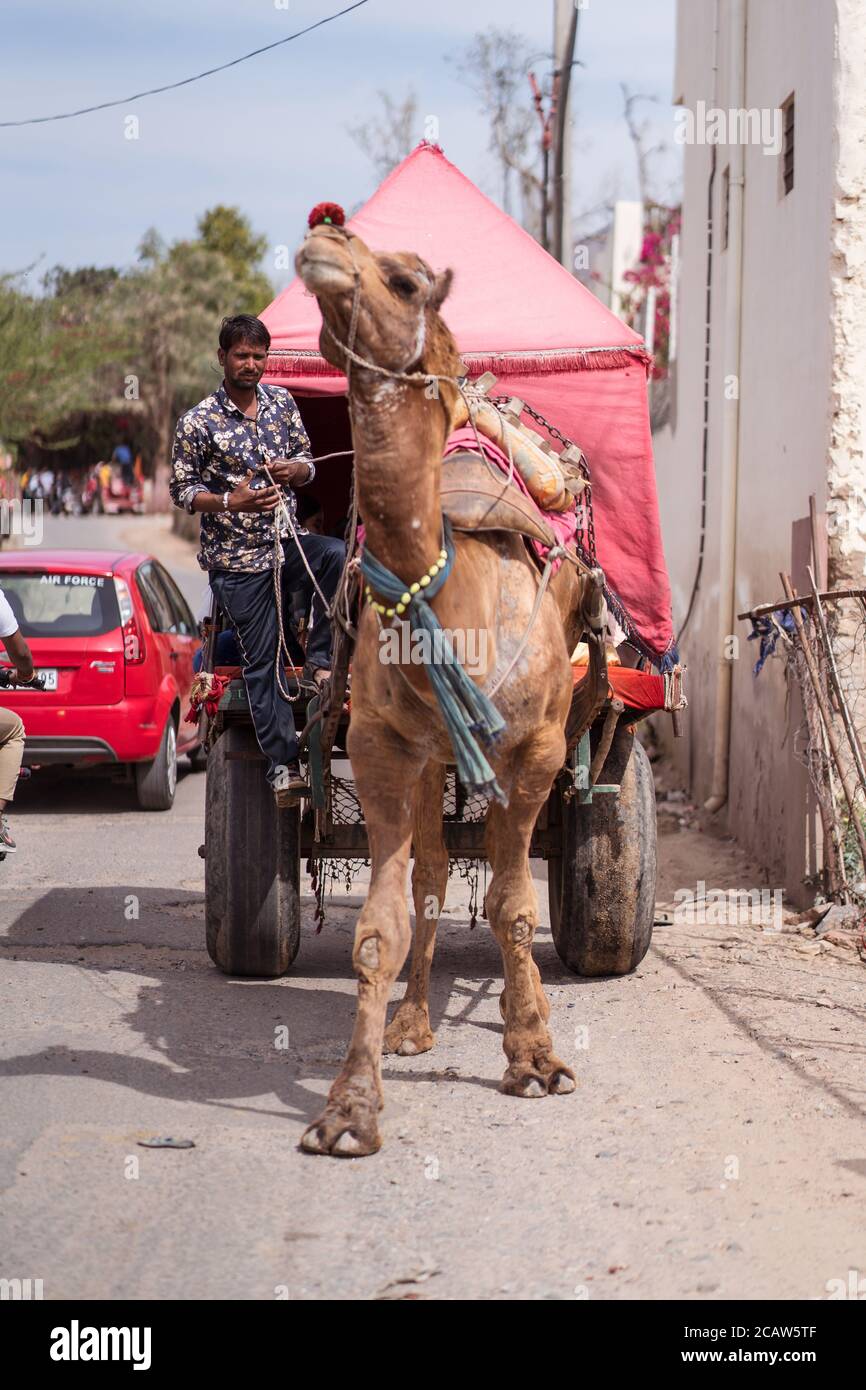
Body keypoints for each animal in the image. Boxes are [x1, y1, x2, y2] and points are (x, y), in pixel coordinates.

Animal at [295, 221, 608, 1156]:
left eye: (404, 280)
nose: (323, 234)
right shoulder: (384, 746)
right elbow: (381, 925)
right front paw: (349, 1108)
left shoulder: (535, 748)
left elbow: (512, 906)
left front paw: (534, 1056)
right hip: (434, 753)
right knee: (433, 870)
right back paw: (412, 1022)